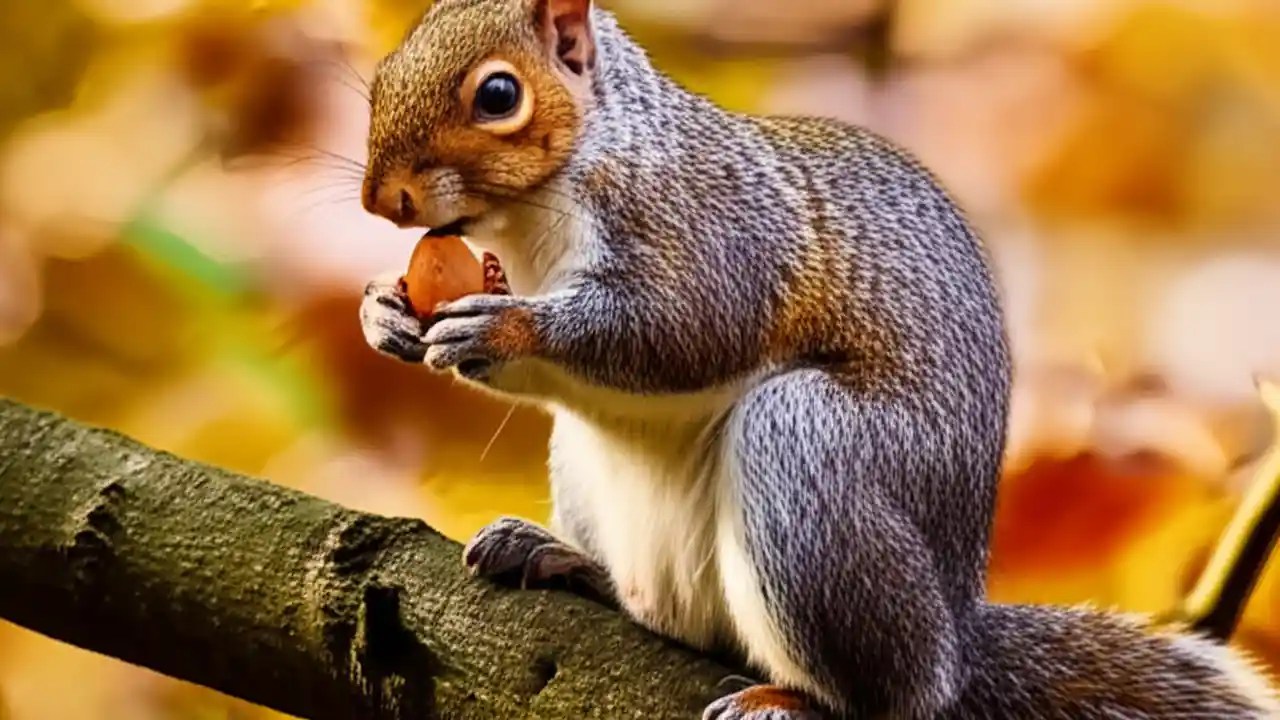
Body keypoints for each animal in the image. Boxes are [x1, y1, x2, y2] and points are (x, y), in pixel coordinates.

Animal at [355, 0, 1280, 717]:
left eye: (498, 94)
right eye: (382, 74)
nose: (380, 199)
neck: (534, 215)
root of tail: (955, 642)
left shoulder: (714, 229)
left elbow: (686, 328)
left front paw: (505, 330)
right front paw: (384, 312)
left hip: (811, 459)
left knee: (889, 695)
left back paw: (792, 699)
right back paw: (563, 560)